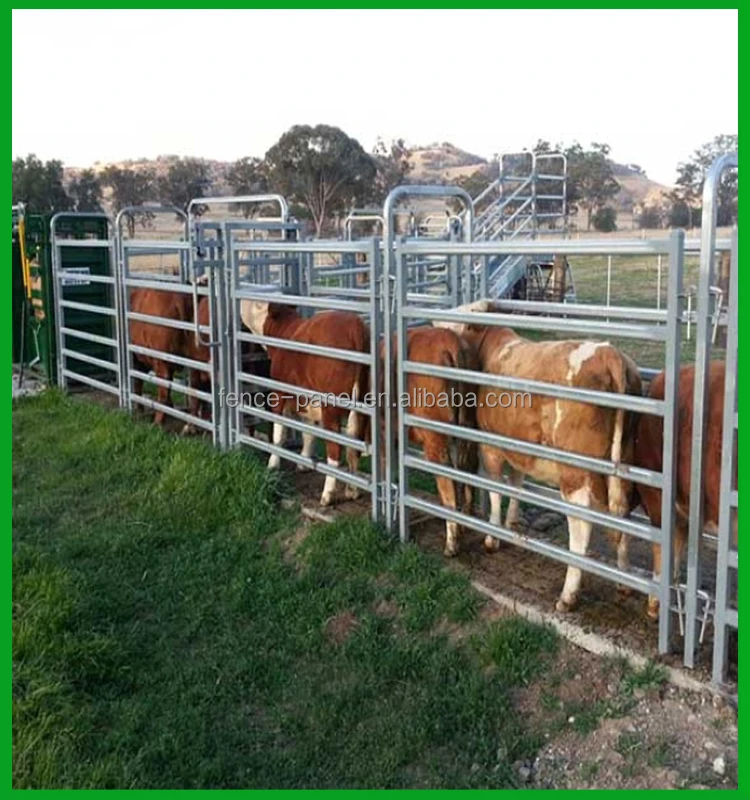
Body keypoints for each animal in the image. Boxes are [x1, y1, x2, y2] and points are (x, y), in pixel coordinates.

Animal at [240, 300, 369, 507]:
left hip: (331, 406)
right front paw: (303, 462)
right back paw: (352, 489)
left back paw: (327, 495)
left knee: (335, 448)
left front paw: (273, 464)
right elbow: (309, 432)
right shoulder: (307, 401)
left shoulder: (279, 393)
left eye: (260, 305)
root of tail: (354, 325)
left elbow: (279, 431)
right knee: (353, 445)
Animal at [442, 304, 642, 613]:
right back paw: (623, 581)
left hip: (575, 472)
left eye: (460, 321)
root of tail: (608, 353)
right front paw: (512, 525)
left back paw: (568, 595)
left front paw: (492, 537)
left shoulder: (491, 445)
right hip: (623, 464)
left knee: (581, 527)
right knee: (622, 516)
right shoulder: (519, 448)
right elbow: (516, 485)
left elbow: (496, 489)